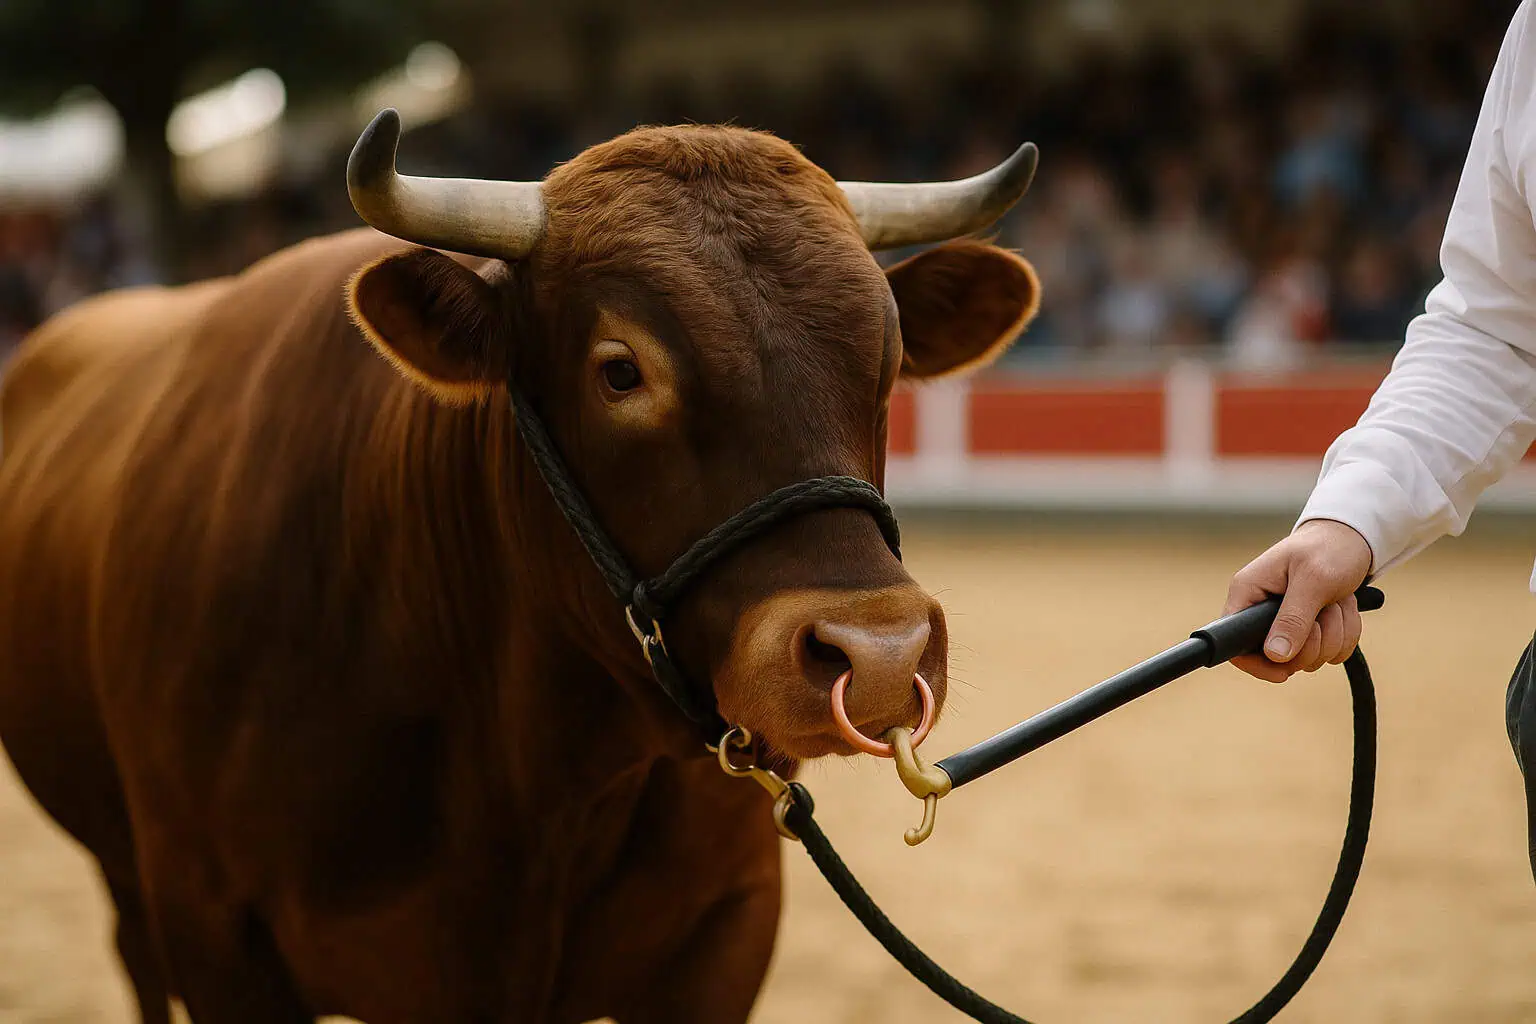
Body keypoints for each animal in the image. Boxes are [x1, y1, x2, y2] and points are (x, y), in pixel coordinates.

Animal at [0, 109, 1040, 1023]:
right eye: (619, 369)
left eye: (888, 360)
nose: (878, 656)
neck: (536, 778)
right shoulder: (216, 933)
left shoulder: (725, 934)